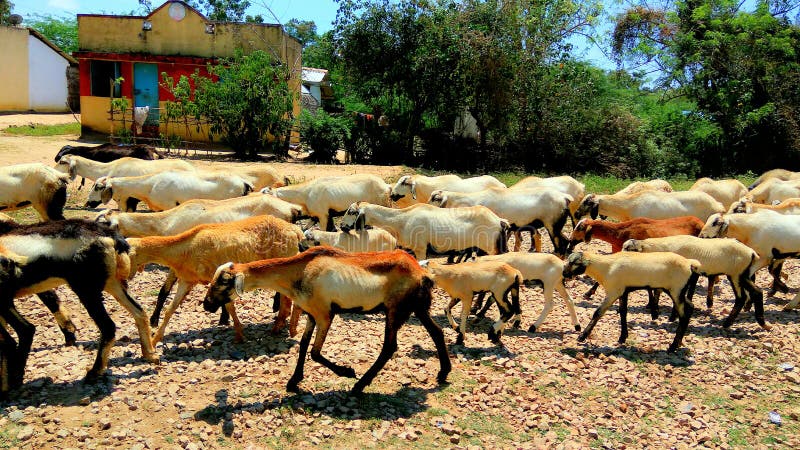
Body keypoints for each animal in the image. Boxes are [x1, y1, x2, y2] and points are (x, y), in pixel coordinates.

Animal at [202, 246, 452, 394]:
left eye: (223, 282)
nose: (206, 304)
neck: (298, 272)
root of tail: (422, 273)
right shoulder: (311, 314)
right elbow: (304, 345)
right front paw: (293, 382)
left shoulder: (325, 314)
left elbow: (314, 352)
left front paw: (347, 372)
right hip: (418, 308)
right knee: (437, 332)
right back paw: (443, 373)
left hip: (395, 309)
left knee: (389, 347)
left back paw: (359, 385)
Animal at [562, 251, 701, 352]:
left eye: (574, 262)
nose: (564, 273)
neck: (606, 267)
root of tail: (689, 263)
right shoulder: (623, 292)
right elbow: (623, 313)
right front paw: (623, 337)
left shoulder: (614, 292)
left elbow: (598, 312)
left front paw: (582, 337)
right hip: (679, 291)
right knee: (690, 306)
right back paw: (678, 344)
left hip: (676, 290)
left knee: (684, 315)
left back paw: (672, 347)